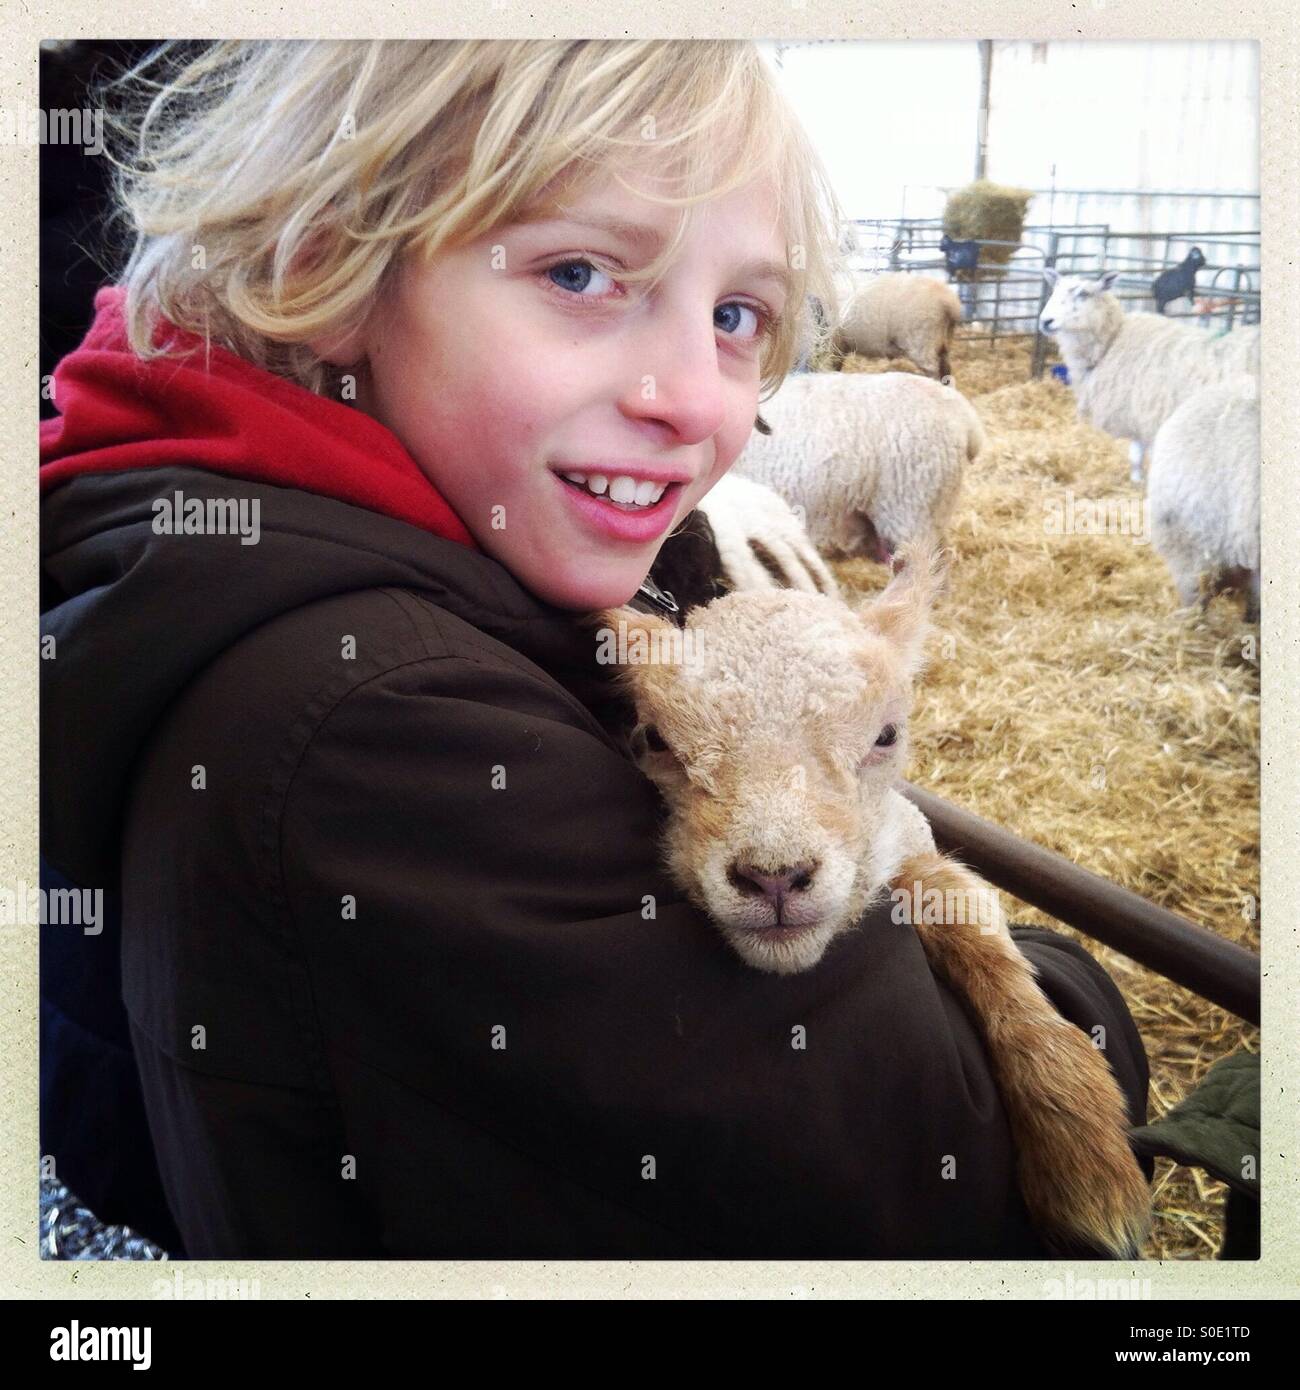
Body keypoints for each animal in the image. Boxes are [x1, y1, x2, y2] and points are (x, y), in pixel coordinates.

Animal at [592, 545, 1152, 1258]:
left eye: (887, 736)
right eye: (654, 739)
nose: (775, 877)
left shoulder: (909, 838)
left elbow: (968, 917)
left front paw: (1083, 1151)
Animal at [1039, 268, 1259, 481]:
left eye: (1084, 293)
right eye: (1054, 289)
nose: (1045, 321)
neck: (1112, 341)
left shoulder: (1150, 416)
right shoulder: (1136, 415)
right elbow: (1136, 456)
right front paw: (1136, 481)